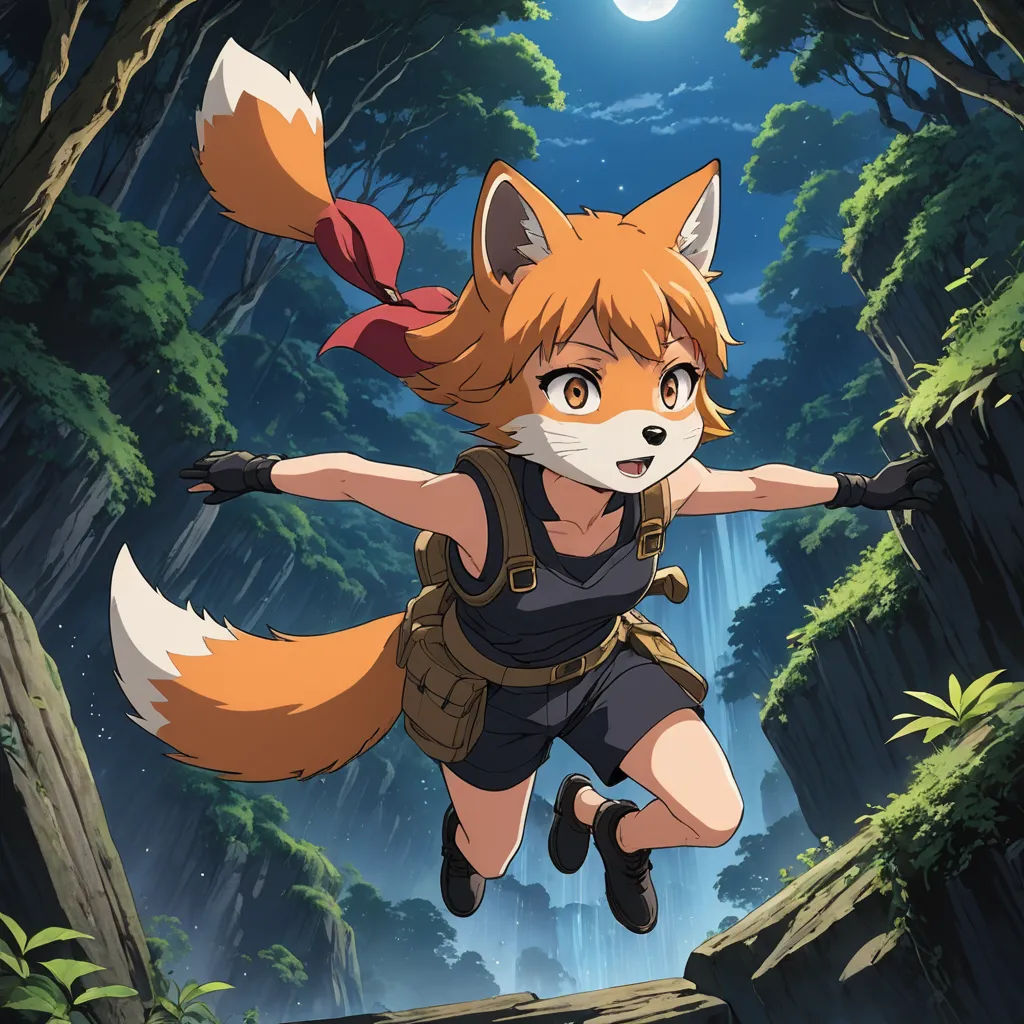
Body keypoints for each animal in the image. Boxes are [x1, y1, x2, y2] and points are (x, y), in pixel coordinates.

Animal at [110, 38, 941, 933]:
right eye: (575, 389)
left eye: (676, 385)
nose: (653, 436)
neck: (574, 499)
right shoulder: (459, 504)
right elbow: (344, 475)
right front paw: (243, 471)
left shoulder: (678, 493)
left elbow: (756, 485)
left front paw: (882, 485)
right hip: (484, 752)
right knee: (486, 835)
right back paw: (472, 862)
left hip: (615, 685)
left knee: (663, 802)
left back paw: (588, 821)